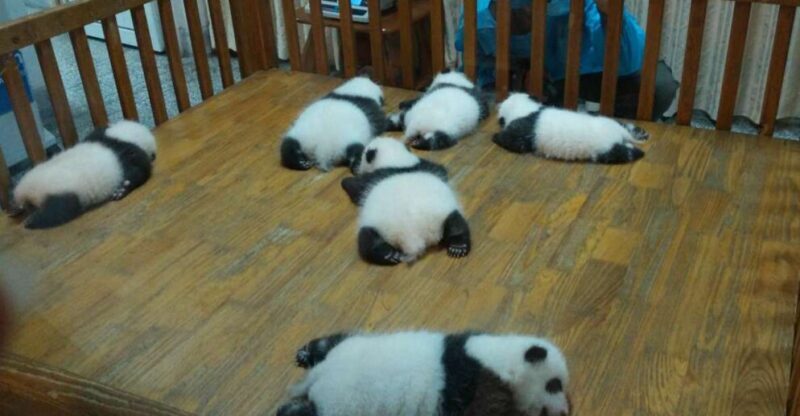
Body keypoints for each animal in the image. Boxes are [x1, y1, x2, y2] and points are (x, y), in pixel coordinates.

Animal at [277, 330, 571, 416]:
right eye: (554, 385)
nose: (565, 411)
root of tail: (321, 374)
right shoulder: (476, 388)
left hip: (351, 345)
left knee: (334, 340)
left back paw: (306, 353)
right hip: (343, 406)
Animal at [340, 138, 469, 265]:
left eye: (363, 156)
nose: (359, 166)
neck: (396, 160)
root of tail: (412, 237)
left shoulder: (371, 179)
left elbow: (355, 186)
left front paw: (347, 179)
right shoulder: (426, 165)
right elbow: (441, 169)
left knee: (366, 241)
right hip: (441, 215)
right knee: (456, 222)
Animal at [493, 93, 649, 164]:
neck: (526, 109)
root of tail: (620, 134)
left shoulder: (521, 131)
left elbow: (511, 141)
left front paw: (495, 137)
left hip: (604, 149)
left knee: (624, 153)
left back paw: (638, 151)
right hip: (608, 122)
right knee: (625, 127)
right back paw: (642, 134)